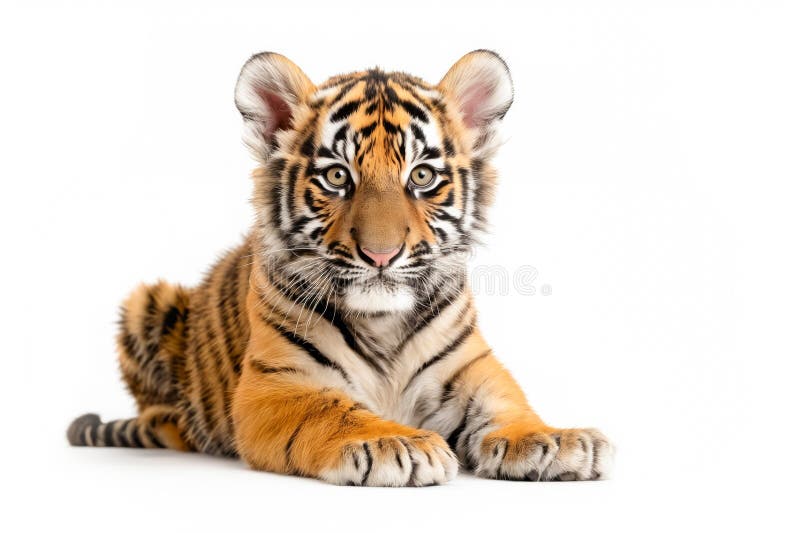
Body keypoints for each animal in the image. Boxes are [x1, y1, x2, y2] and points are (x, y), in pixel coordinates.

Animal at [67, 50, 614, 485]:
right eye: (335, 177)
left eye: (421, 176)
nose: (381, 255)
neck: (383, 323)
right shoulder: (273, 386)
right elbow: (330, 409)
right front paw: (395, 444)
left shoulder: (471, 366)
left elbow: (509, 404)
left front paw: (556, 440)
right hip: (146, 303)